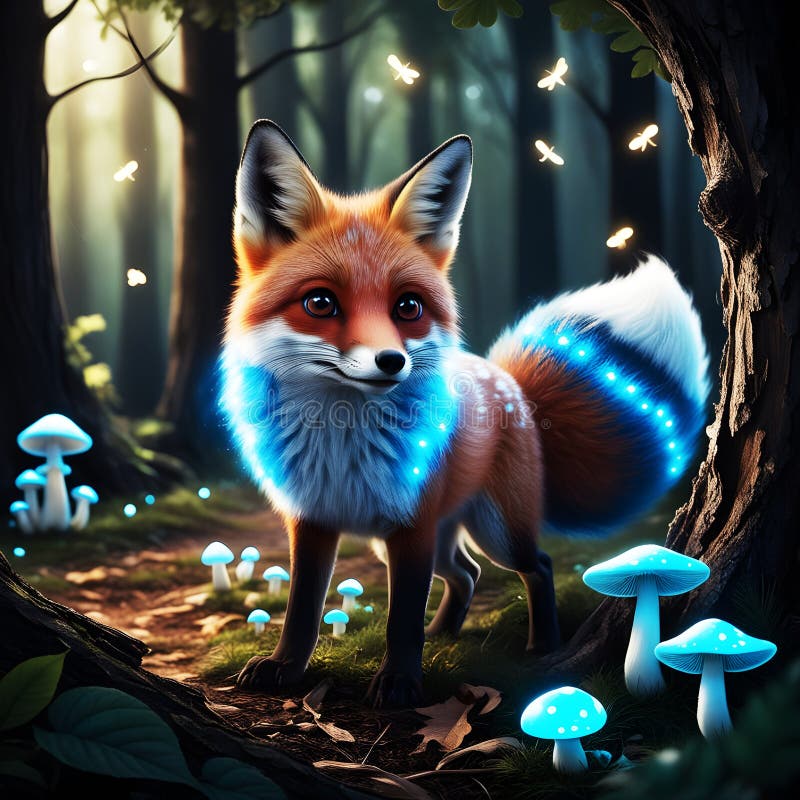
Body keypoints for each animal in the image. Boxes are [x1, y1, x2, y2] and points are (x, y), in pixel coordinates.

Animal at [221, 120, 709, 708]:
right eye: (320, 303)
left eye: (408, 307)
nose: (392, 361)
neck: (343, 446)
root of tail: (509, 384)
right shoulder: (313, 520)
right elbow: (302, 610)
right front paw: (285, 668)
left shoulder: (411, 525)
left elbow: (401, 618)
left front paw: (400, 682)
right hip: (432, 536)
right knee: (467, 575)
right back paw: (444, 633)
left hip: (495, 530)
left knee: (536, 565)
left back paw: (540, 644)